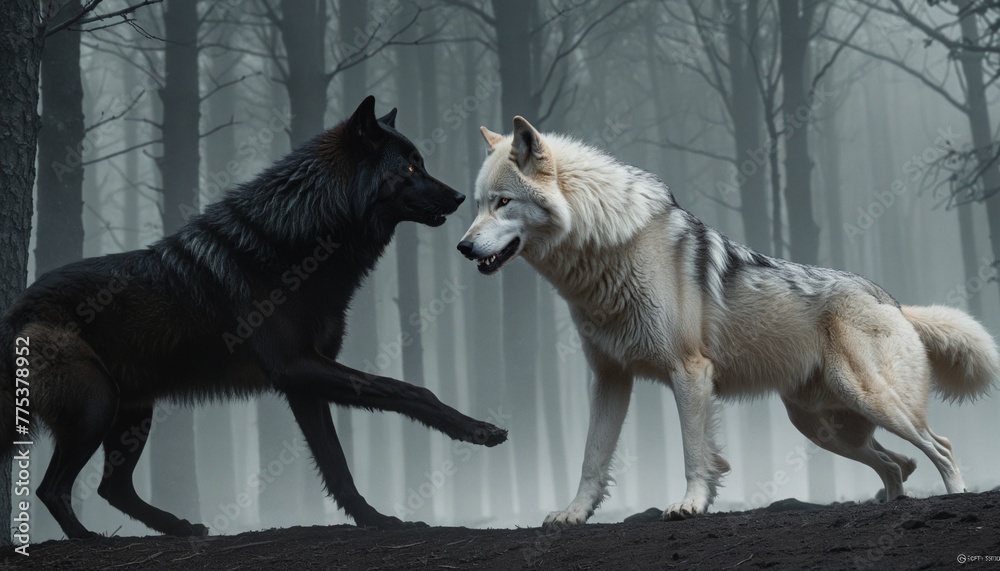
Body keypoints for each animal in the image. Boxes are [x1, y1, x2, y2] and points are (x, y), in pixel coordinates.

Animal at [0, 96, 507, 540]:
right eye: (410, 167)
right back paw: (92, 540)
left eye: (422, 163)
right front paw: (477, 430)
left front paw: (375, 521)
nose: (459, 196)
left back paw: (182, 528)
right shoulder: (296, 367)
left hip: (133, 412)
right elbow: (408, 391)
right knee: (53, 489)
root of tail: (14, 311)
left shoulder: (305, 379)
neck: (298, 246)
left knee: (112, 487)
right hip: (98, 405)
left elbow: (337, 466)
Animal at [458, 116, 999, 527]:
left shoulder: (690, 372)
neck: (605, 248)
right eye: (479, 203)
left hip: (870, 402)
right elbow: (592, 458)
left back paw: (951, 500)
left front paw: (691, 504)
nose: (462, 246)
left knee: (941, 448)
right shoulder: (609, 378)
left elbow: (695, 453)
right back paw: (891, 504)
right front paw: (573, 513)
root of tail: (892, 300)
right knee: (899, 464)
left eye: (503, 202)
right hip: (822, 428)